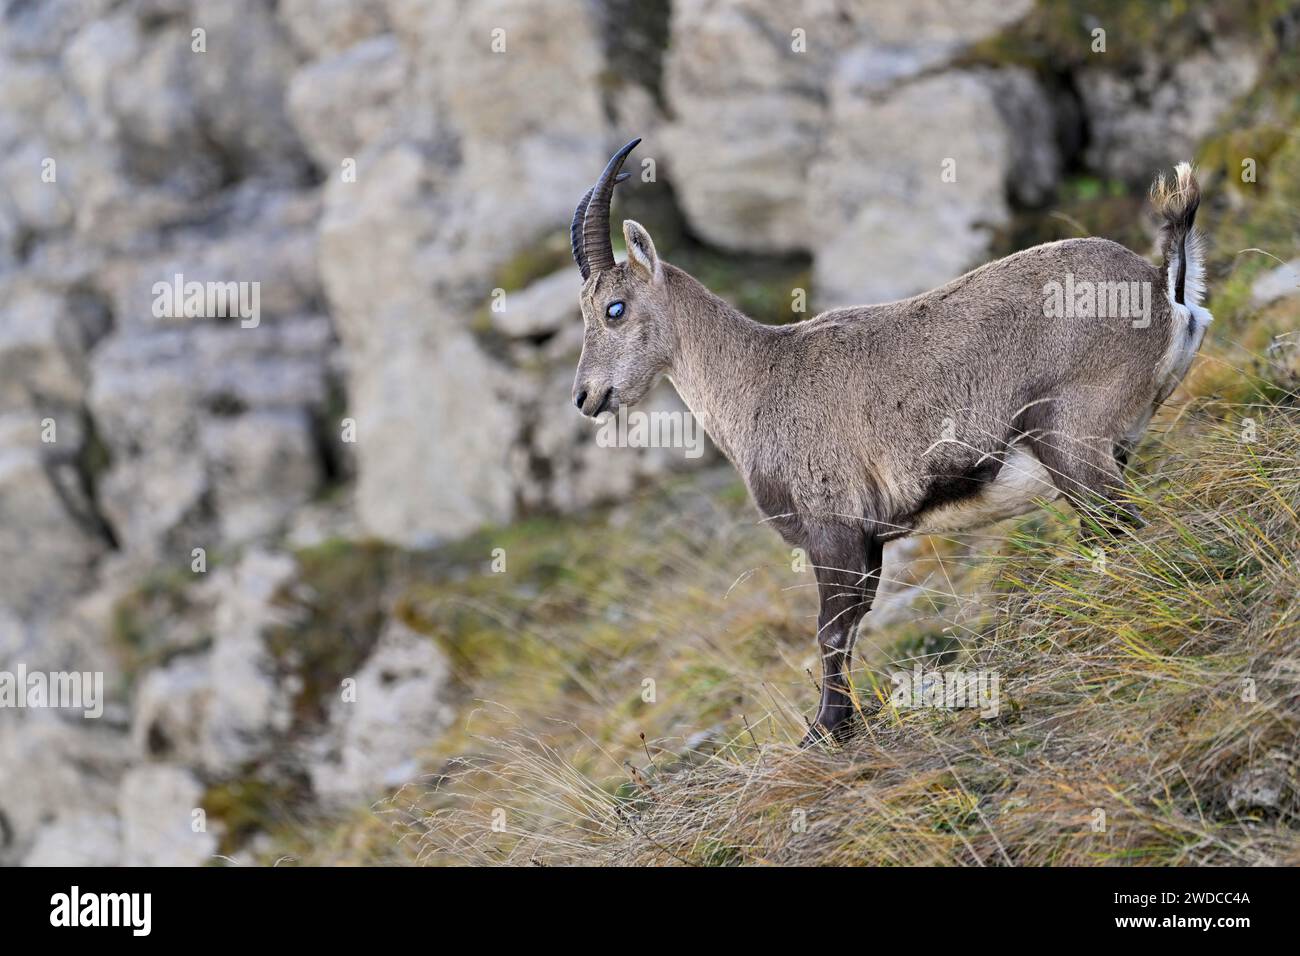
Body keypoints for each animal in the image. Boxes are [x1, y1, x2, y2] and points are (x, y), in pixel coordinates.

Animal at [569, 138, 1211, 746]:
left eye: (614, 308)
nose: (585, 396)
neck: (760, 378)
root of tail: (1165, 291)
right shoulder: (870, 542)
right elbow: (848, 628)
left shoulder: (835, 530)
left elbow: (831, 633)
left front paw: (825, 732)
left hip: (1070, 438)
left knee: (1119, 520)